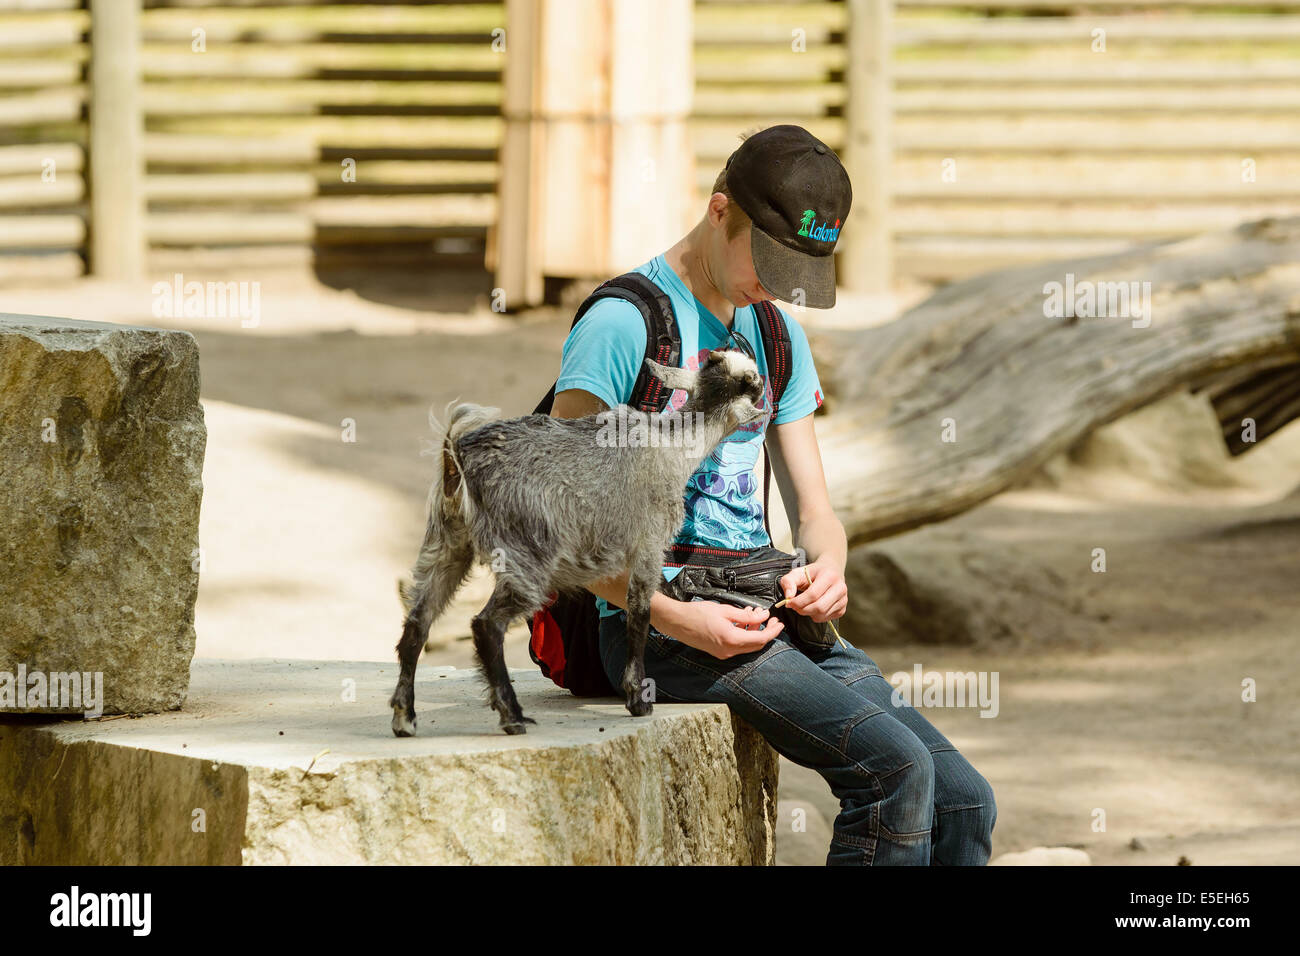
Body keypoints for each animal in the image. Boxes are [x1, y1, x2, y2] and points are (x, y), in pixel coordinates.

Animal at [389, 348, 767, 736]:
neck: (673, 447)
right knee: (486, 625)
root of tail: (456, 457)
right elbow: (640, 612)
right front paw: (637, 699)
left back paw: (405, 717)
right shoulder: (649, 542)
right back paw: (512, 715)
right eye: (750, 380)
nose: (761, 382)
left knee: (417, 622)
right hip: (526, 552)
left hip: (445, 542)